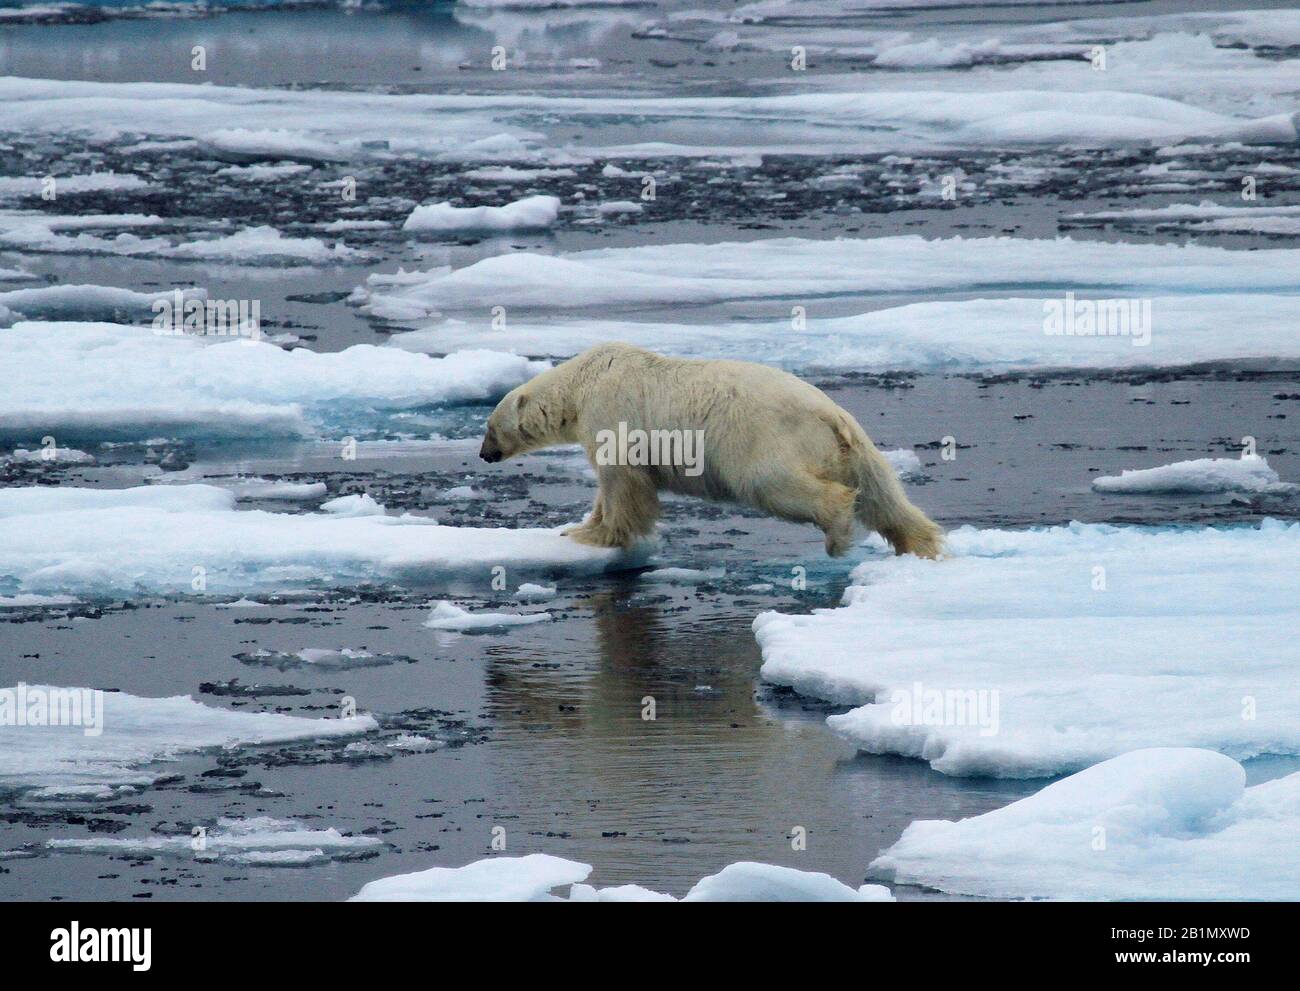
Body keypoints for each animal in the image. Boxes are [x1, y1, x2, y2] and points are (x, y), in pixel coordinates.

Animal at [479, 342, 943, 559]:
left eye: (489, 427)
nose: (483, 454)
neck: (580, 384)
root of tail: (830, 414)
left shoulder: (610, 414)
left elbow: (621, 482)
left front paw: (593, 534)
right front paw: (579, 525)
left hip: (765, 439)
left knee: (776, 484)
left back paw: (837, 536)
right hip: (857, 449)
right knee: (885, 496)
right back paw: (922, 546)